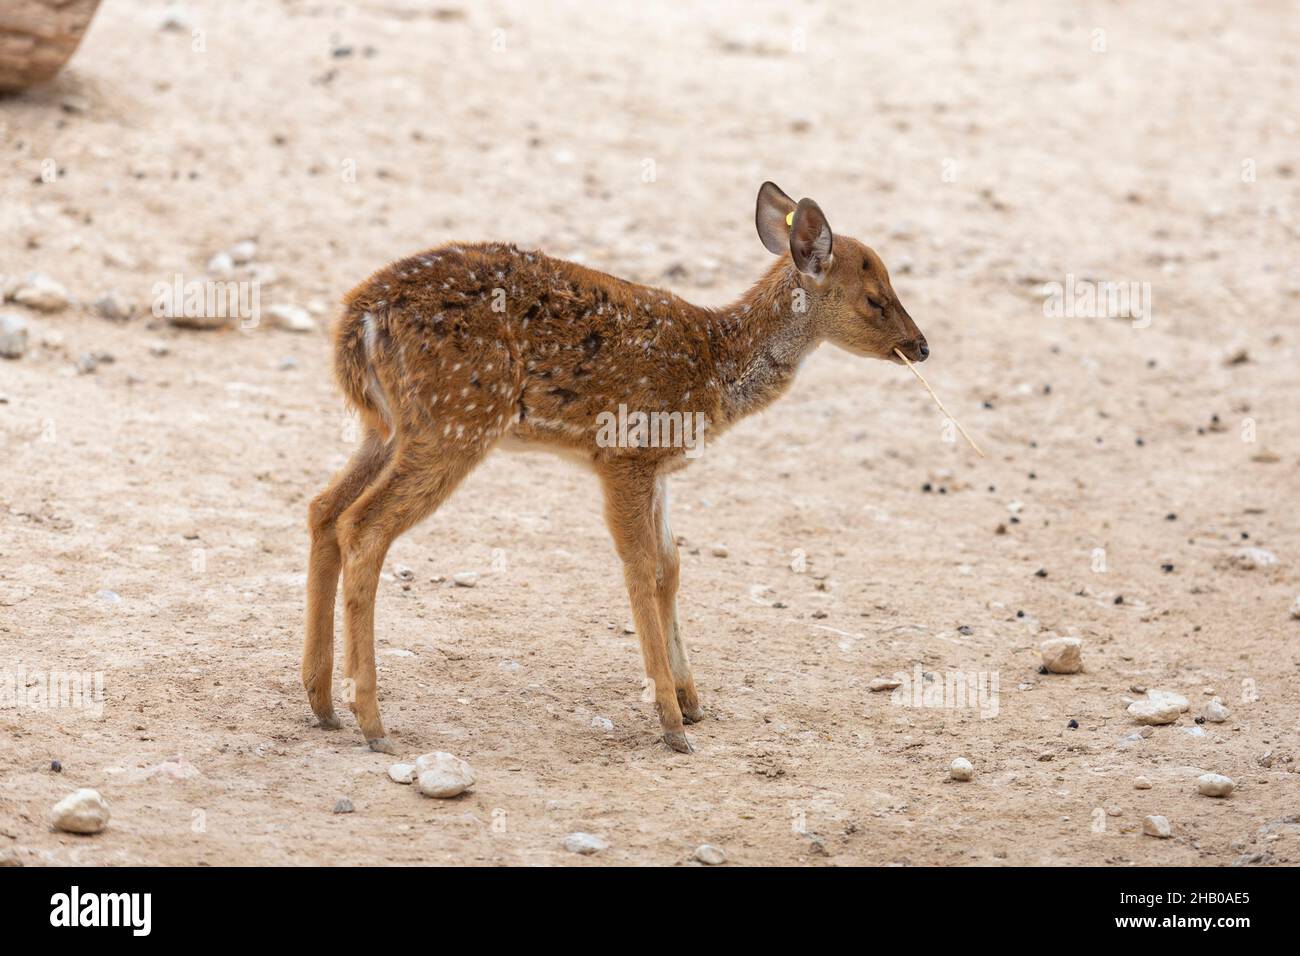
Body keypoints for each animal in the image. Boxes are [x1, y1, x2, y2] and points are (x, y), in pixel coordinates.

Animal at [302, 181, 928, 755]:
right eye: (875, 298)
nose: (921, 346)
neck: (715, 368)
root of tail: (359, 319)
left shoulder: (660, 468)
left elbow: (670, 566)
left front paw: (691, 700)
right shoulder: (624, 454)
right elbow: (642, 566)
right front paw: (672, 723)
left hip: (388, 427)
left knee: (324, 509)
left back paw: (322, 701)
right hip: (454, 420)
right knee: (364, 525)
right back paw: (373, 723)